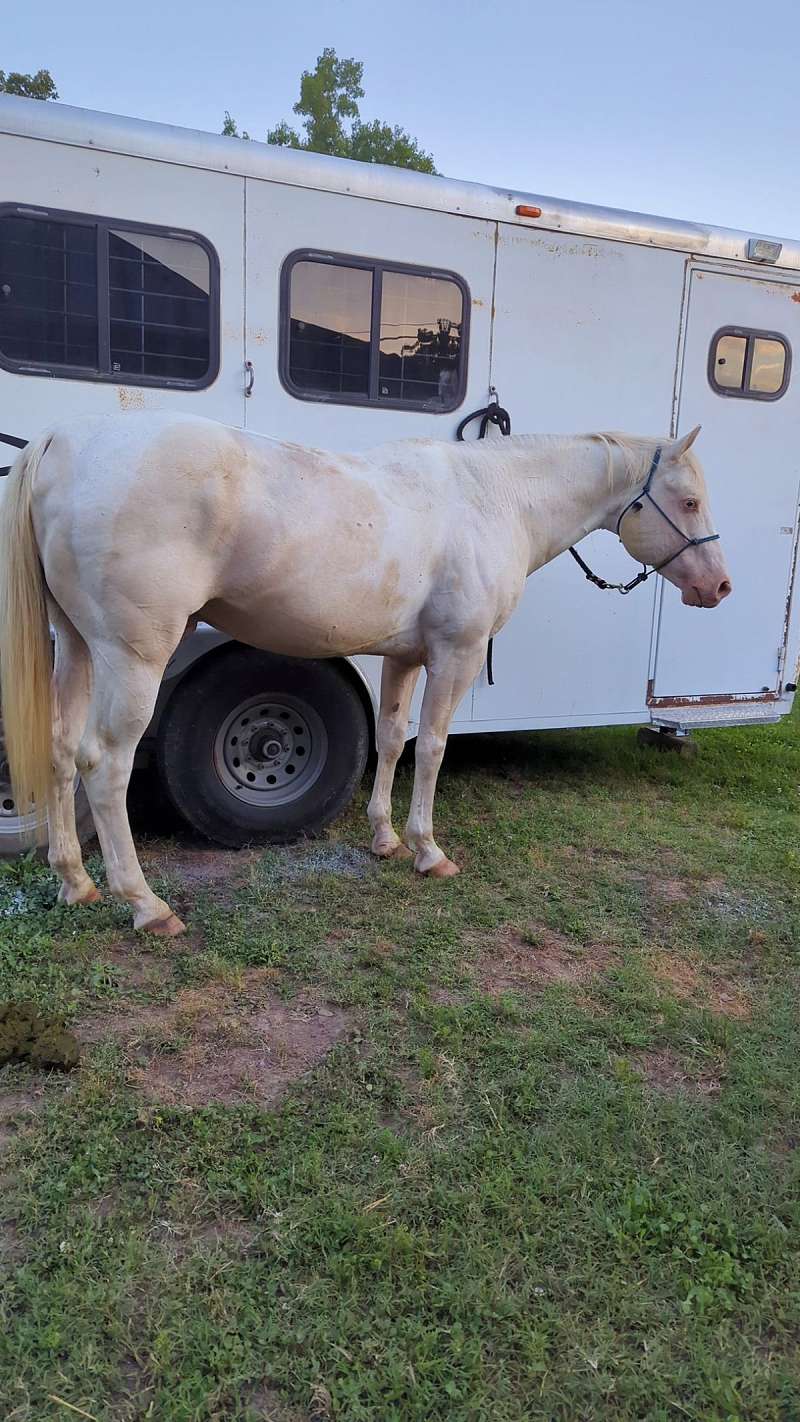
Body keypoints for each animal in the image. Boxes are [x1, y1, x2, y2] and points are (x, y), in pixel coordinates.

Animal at [0, 414, 731, 935]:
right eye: (690, 501)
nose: (719, 586)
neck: (493, 498)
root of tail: (64, 441)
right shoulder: (457, 654)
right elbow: (431, 748)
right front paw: (428, 851)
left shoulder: (404, 657)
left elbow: (392, 742)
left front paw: (384, 839)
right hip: (133, 659)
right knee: (105, 765)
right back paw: (146, 905)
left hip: (76, 648)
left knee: (61, 753)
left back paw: (75, 882)